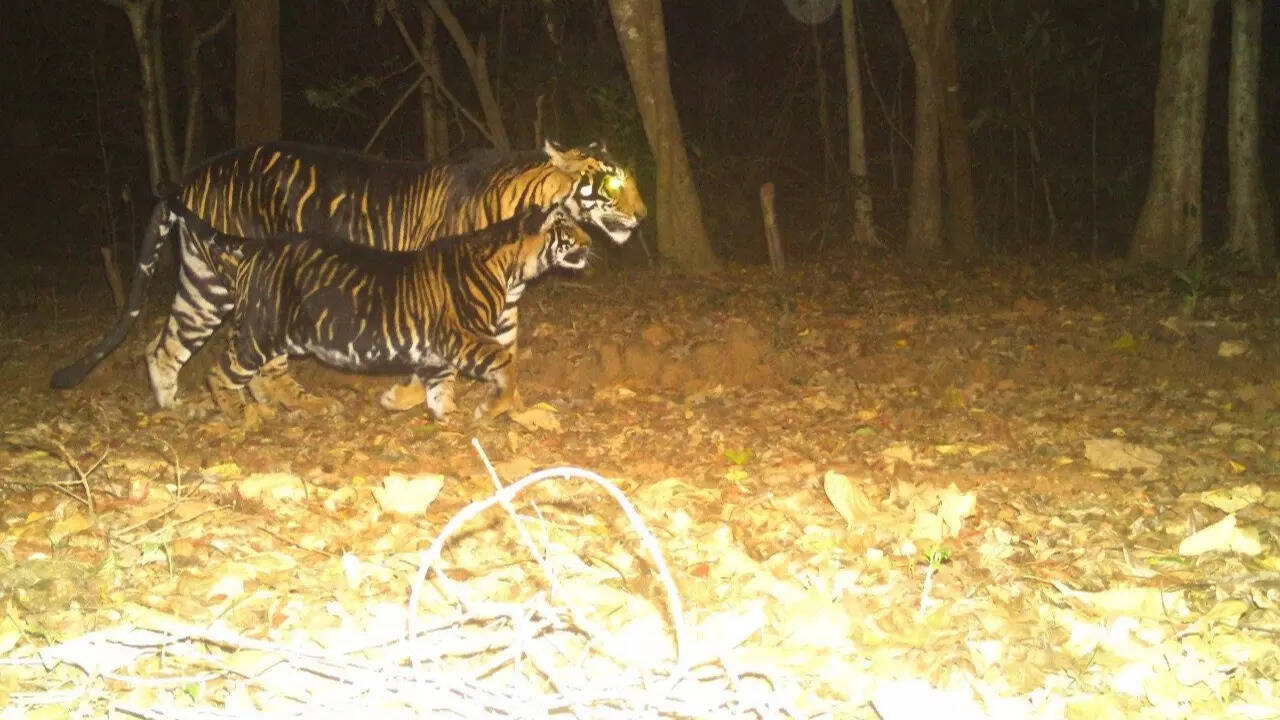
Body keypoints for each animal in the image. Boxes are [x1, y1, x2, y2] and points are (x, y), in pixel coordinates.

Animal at [175, 200, 590, 421]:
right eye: (568, 228)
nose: (590, 241)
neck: (512, 271)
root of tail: (258, 245)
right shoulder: (461, 336)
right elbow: (506, 365)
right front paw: (490, 409)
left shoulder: (438, 348)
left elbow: (437, 383)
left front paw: (437, 411)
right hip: (260, 332)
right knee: (221, 374)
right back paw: (240, 414)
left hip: (277, 335)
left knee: (266, 376)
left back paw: (295, 407)